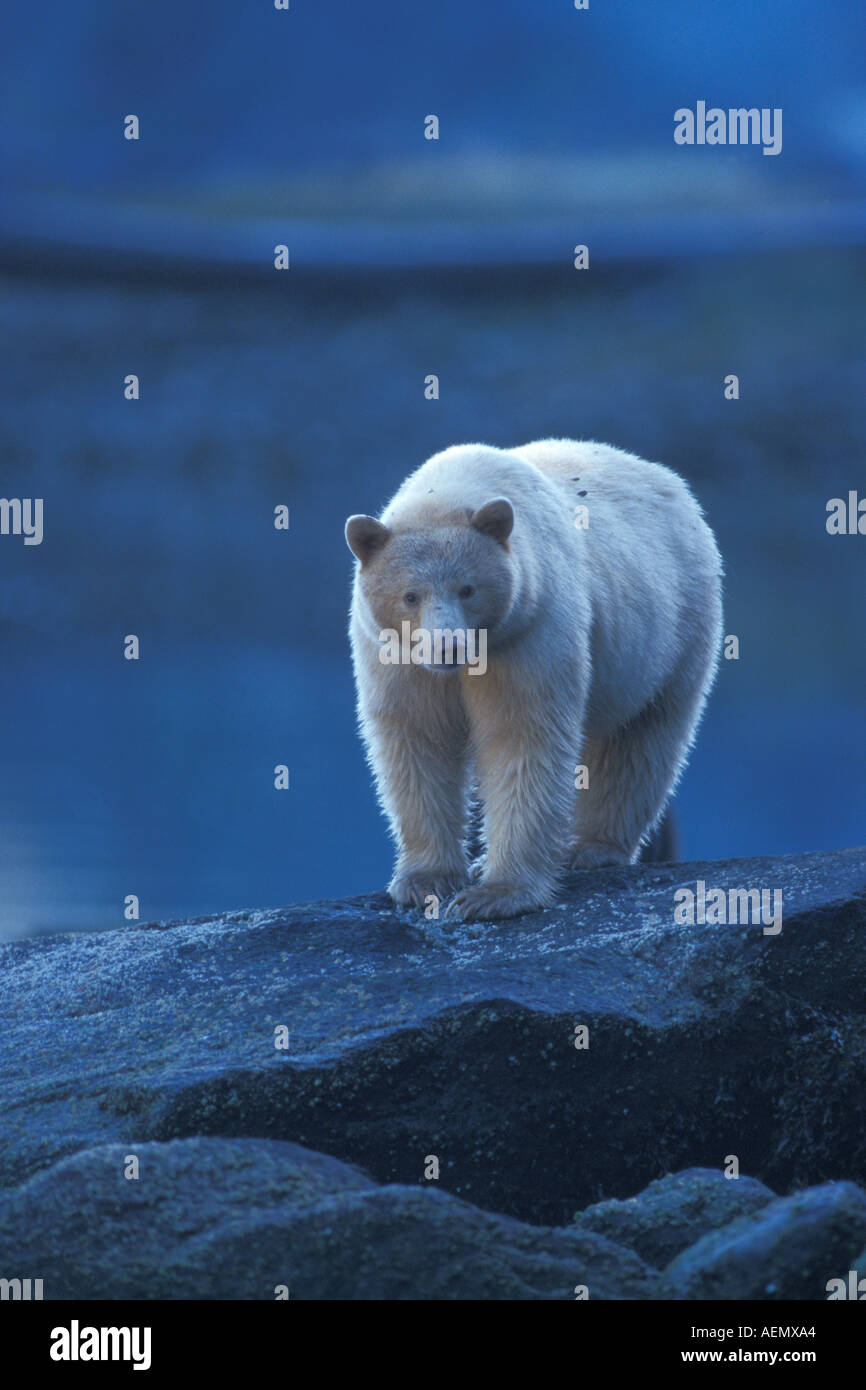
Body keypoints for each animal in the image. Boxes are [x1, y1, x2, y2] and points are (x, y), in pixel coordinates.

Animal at [345, 438, 723, 922]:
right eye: (410, 595)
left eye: (468, 589)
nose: (447, 646)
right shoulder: (397, 656)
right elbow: (418, 739)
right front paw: (426, 881)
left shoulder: (529, 629)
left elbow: (522, 736)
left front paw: (496, 894)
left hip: (673, 633)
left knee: (640, 741)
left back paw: (591, 848)